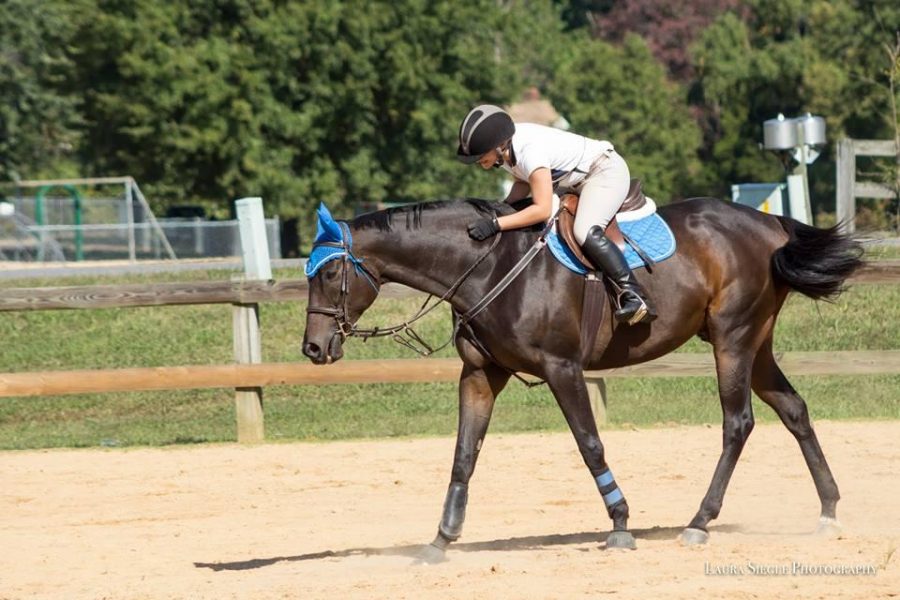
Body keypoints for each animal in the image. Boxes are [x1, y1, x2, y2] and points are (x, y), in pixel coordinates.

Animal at [302, 196, 863, 562]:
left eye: (328, 274)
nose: (313, 348)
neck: (487, 265)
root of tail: (770, 225)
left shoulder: (562, 368)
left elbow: (590, 445)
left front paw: (620, 525)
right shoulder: (481, 373)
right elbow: (464, 453)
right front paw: (442, 538)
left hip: (732, 338)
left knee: (737, 423)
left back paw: (700, 521)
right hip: (756, 343)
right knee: (793, 409)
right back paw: (829, 510)